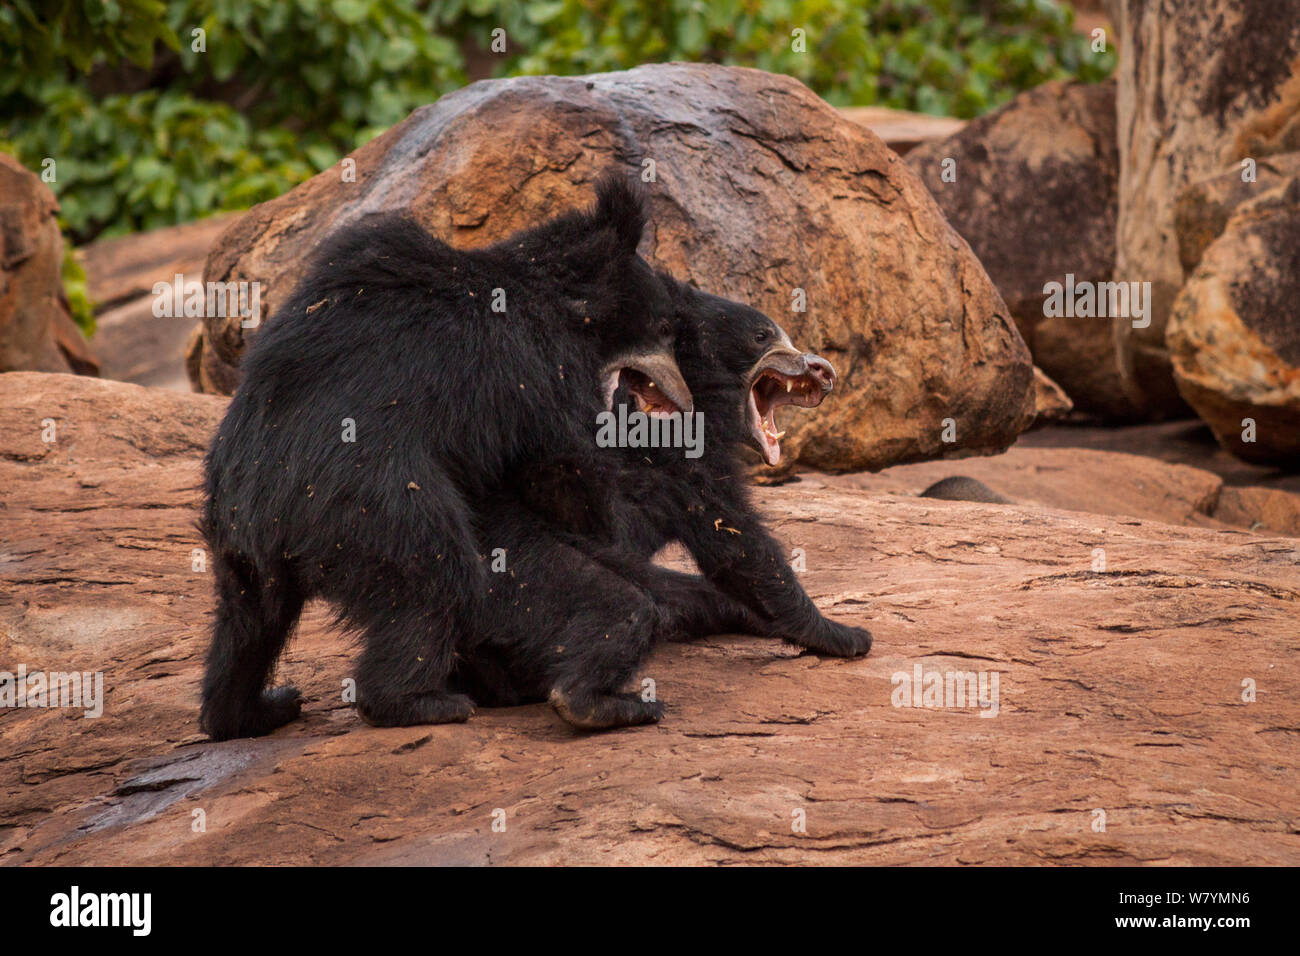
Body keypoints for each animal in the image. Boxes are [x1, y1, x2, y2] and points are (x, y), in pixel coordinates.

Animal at [199, 176, 696, 740]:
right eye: (664, 328)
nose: (686, 399)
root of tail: (263, 508)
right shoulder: (540, 370)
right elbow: (568, 475)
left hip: (235, 541)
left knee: (248, 622)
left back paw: (252, 710)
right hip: (367, 504)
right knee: (432, 579)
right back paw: (428, 701)